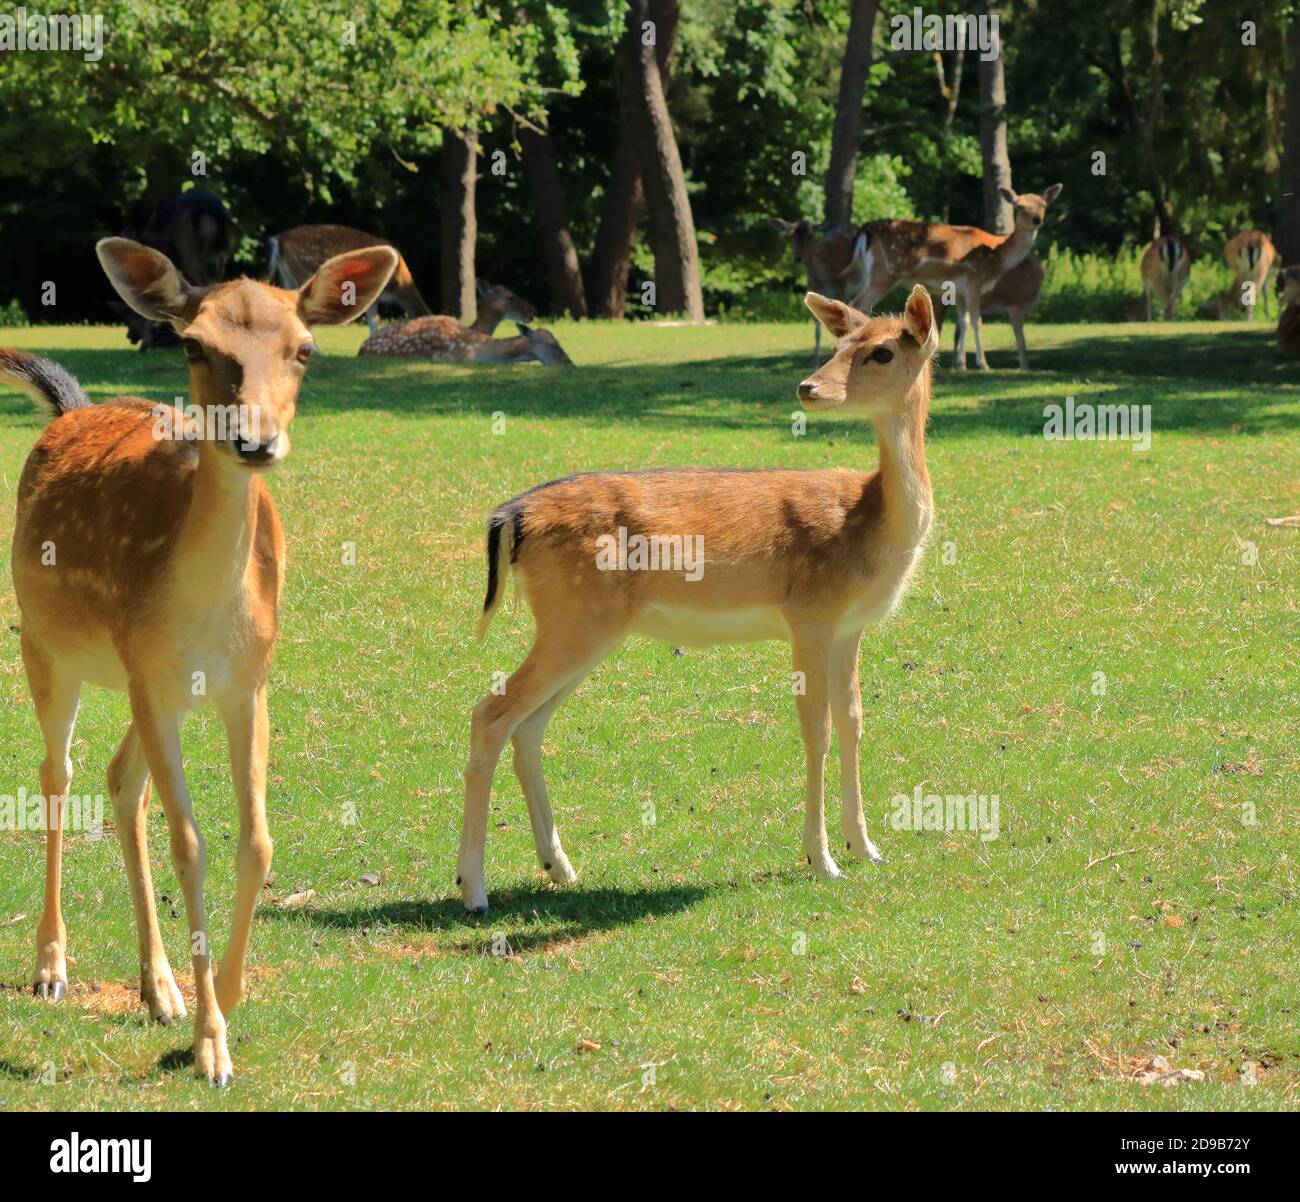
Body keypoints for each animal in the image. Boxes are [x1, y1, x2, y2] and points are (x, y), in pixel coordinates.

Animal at [1, 236, 398, 1084]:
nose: (255, 440)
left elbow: (256, 840)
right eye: (193, 344)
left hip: (147, 686)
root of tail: (70, 410)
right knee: (58, 776)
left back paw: (159, 989)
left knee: (121, 783)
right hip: (48, 644)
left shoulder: (246, 685)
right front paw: (212, 1044)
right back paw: (51, 966)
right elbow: (191, 844)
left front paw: (228, 993)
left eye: (305, 350)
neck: (208, 615)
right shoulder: (151, 679)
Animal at [456, 285, 939, 913]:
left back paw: (560, 867)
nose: (807, 387)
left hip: (582, 628)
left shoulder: (849, 626)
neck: (871, 528)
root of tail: (510, 516)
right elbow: (818, 728)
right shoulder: (809, 614)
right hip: (575, 620)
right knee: (490, 713)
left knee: (528, 726)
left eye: (880, 350)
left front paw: (868, 849)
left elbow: (854, 721)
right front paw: (823, 860)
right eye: (840, 344)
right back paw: (473, 888)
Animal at [769, 219, 871, 359]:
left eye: (811, 235)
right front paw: (815, 356)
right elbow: (817, 330)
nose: (797, 257)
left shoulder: (843, 293)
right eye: (790, 235)